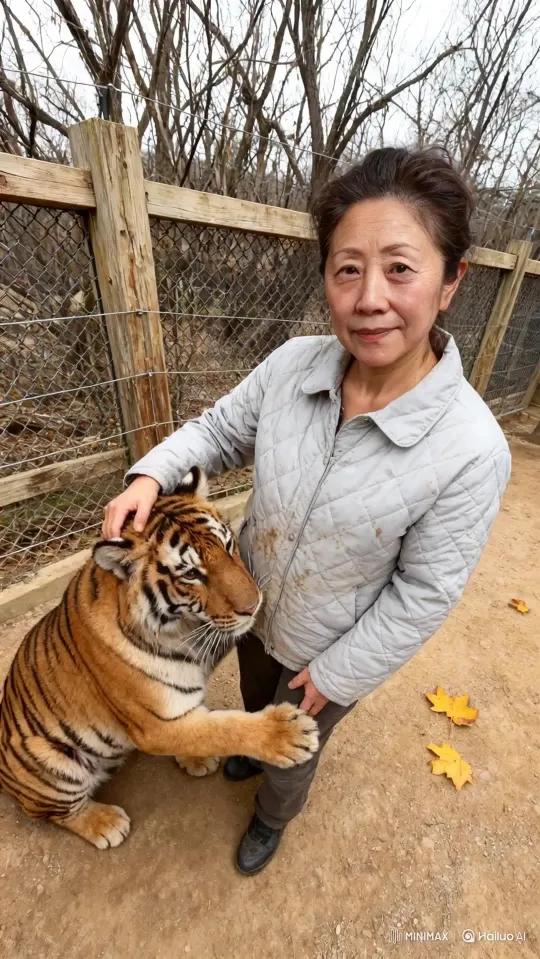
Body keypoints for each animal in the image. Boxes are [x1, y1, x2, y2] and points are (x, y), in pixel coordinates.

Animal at [0, 467, 318, 849]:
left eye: (228, 545)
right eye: (191, 574)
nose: (254, 605)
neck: (182, 628)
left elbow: (201, 730)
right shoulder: (156, 722)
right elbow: (223, 728)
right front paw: (288, 733)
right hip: (54, 765)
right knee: (55, 813)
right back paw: (105, 823)